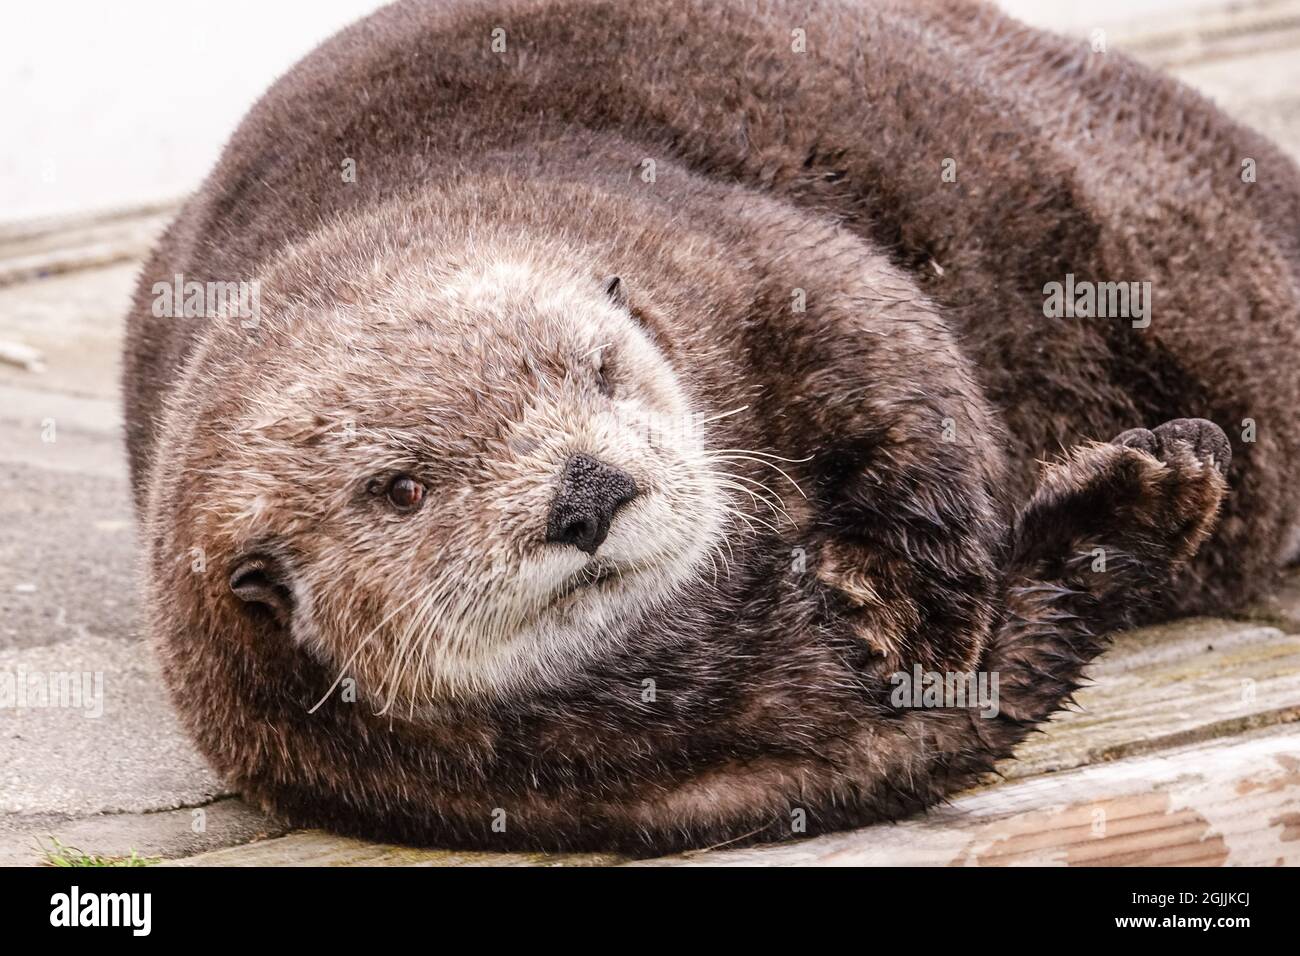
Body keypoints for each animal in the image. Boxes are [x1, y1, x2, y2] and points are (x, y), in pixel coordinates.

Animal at [122, 0, 1300, 853]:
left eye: (600, 371)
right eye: (401, 487)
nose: (586, 492)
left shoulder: (745, 262)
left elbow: (895, 356)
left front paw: (915, 595)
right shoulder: (627, 777)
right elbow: (945, 718)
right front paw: (1143, 496)